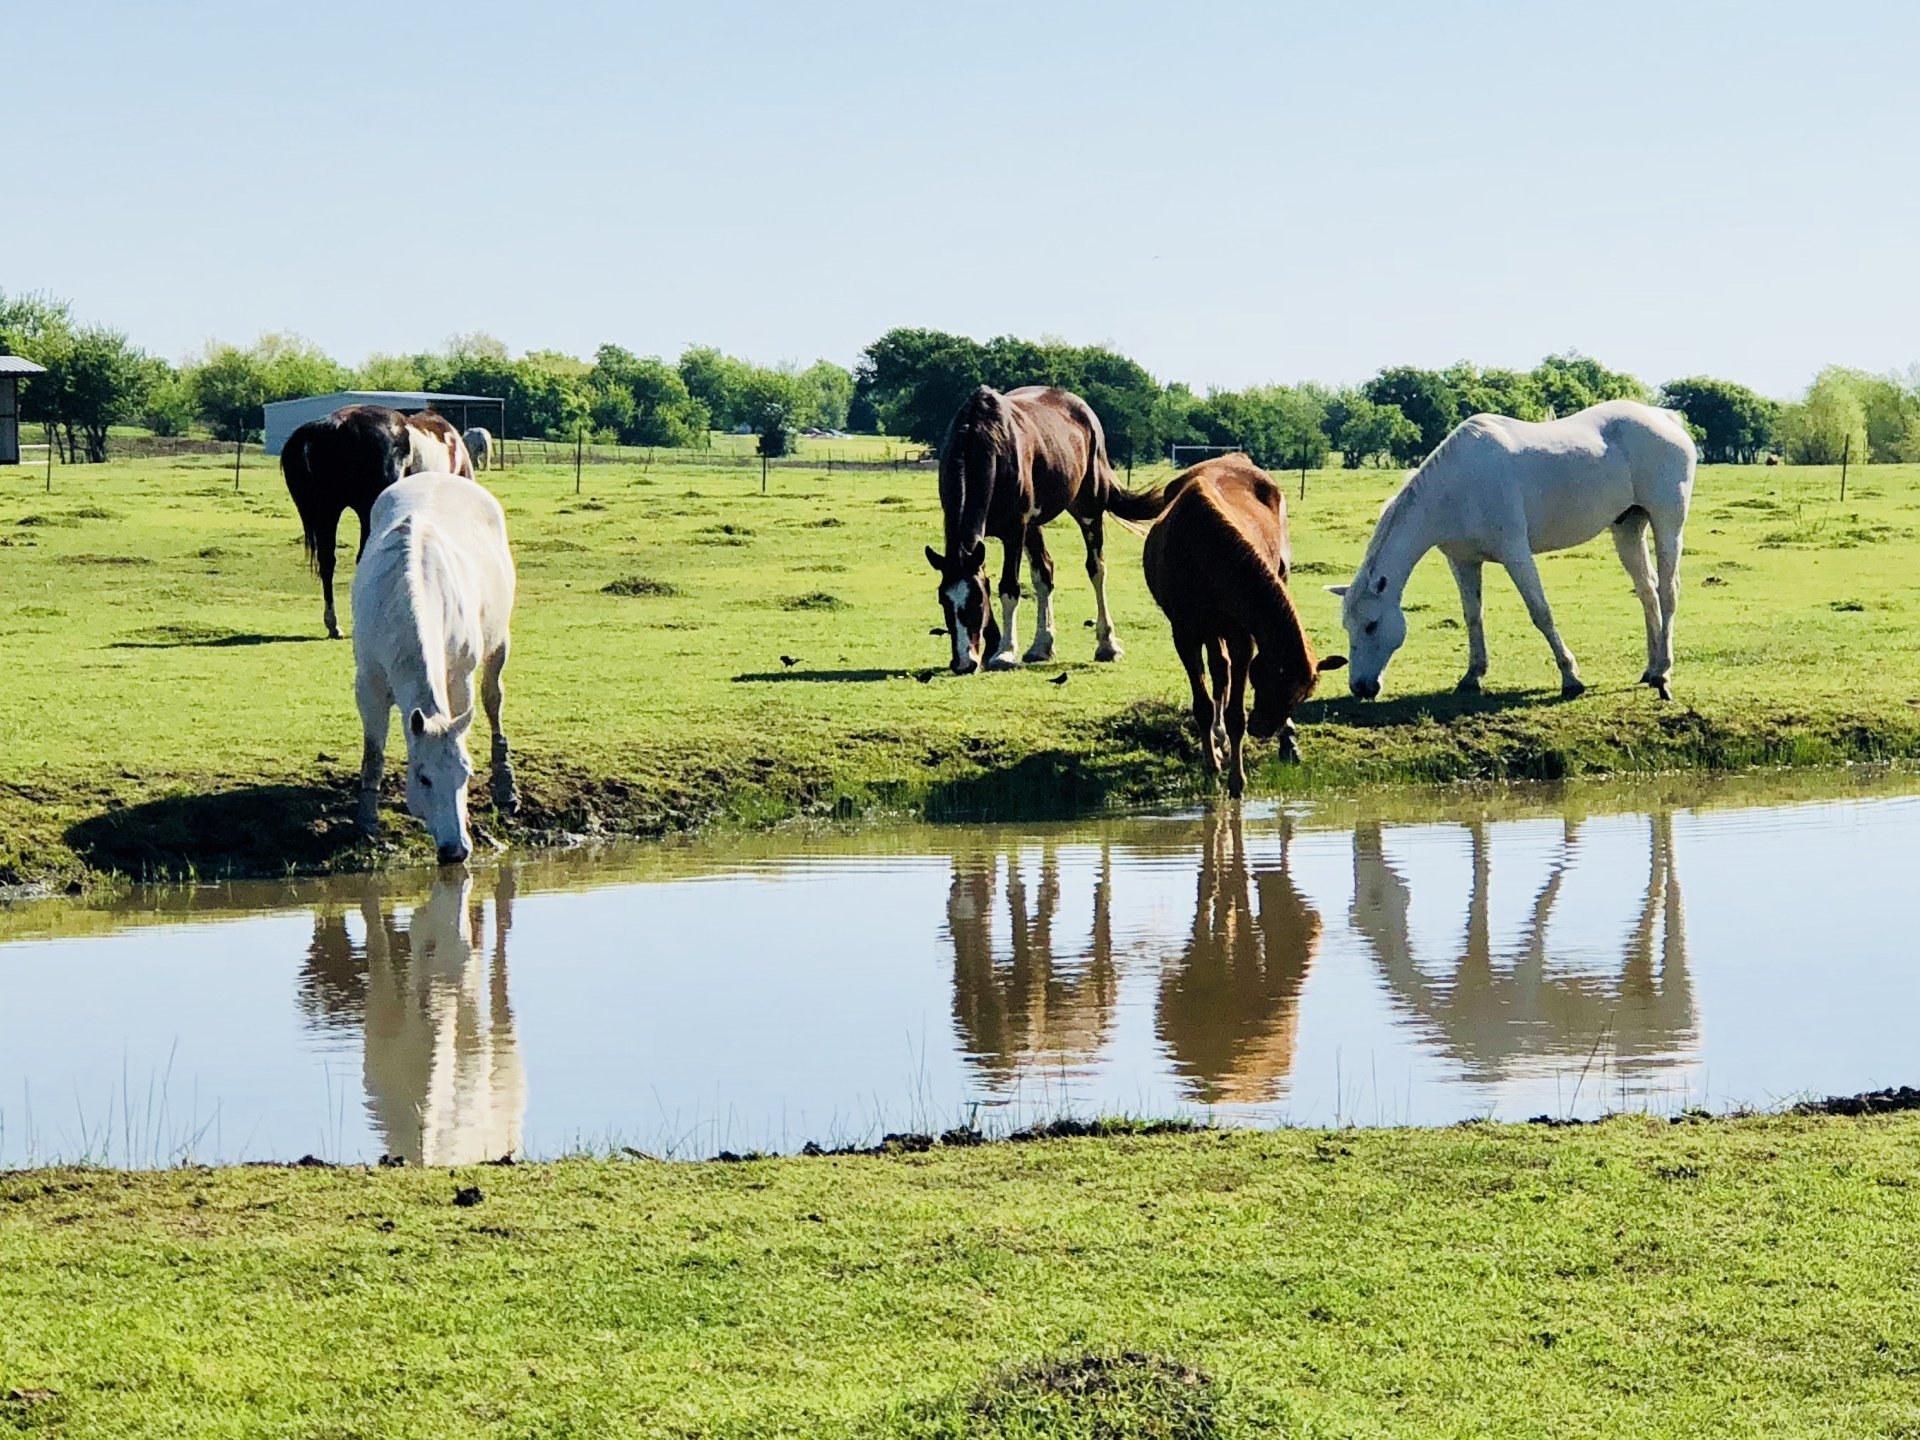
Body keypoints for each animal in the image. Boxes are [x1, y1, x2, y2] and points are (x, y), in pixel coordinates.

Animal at [350, 475, 517, 865]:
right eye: (423, 778)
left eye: (466, 773)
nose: (456, 850)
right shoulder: (368, 685)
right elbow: (373, 752)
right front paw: (366, 820)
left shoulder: (459, 679)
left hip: (499, 643)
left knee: (493, 699)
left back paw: (505, 786)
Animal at [923, 385, 1167, 674]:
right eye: (943, 600)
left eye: (976, 601)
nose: (963, 662)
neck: (982, 437)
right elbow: (992, 578)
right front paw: (993, 648)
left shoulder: (1014, 531)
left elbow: (1009, 587)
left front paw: (1005, 653)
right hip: (1034, 526)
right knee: (1045, 572)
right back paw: (1041, 646)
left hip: (1088, 509)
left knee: (1097, 569)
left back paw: (1107, 645)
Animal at [1142, 455, 1345, 796]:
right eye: (1268, 680)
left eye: (1302, 696)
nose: (1263, 727)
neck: (1206, 554)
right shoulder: (1185, 631)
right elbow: (1202, 704)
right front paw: (1212, 766)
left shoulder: (1241, 633)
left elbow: (1236, 712)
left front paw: (1237, 778)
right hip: (1209, 629)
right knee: (1218, 670)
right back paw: (1218, 739)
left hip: (1269, 584)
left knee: (1221, 670)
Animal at [1330, 399, 1696, 701]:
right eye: (1348, 626)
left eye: (1371, 625)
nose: (1360, 688)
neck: (1455, 488)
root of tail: (1666, 418)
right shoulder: (1463, 561)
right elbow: (1472, 616)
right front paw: (1472, 676)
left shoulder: (1515, 553)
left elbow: (1540, 612)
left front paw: (1571, 678)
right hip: (1628, 527)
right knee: (1647, 590)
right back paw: (1650, 669)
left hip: (1667, 523)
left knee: (1668, 591)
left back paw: (1664, 672)